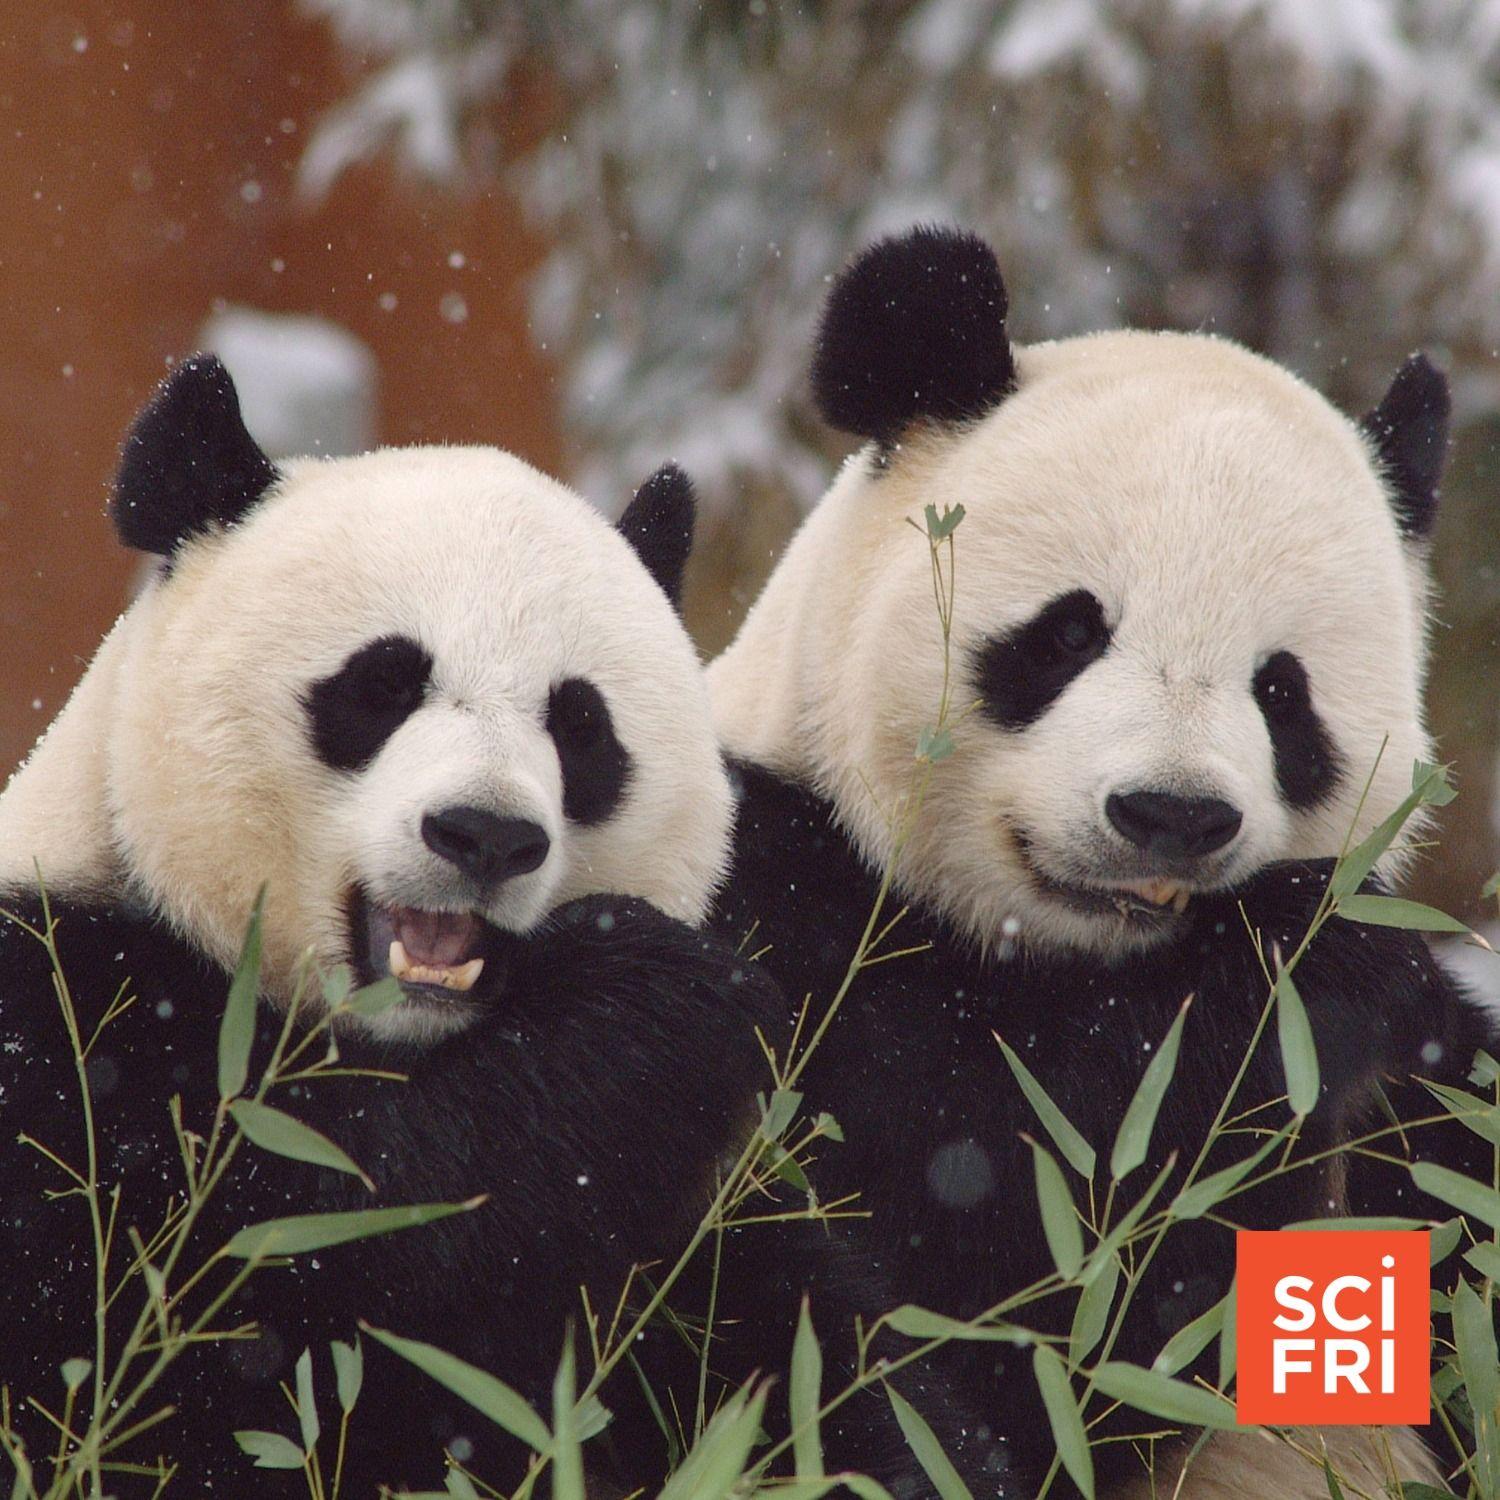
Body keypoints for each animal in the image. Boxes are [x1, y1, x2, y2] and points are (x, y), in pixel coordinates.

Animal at [0, 358, 977, 1496]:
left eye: (581, 725)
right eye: (381, 685)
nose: (486, 836)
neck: (403, 1042)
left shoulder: (697, 1242)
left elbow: (839, 1385)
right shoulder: (68, 1024)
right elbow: (277, 1270)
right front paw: (650, 1006)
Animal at [708, 228, 1492, 1498]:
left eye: (1283, 693)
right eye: (1069, 633)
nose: (1169, 813)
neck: (1068, 960)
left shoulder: (1430, 1104)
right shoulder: (777, 905)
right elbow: (1024, 1267)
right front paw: (1300, 969)